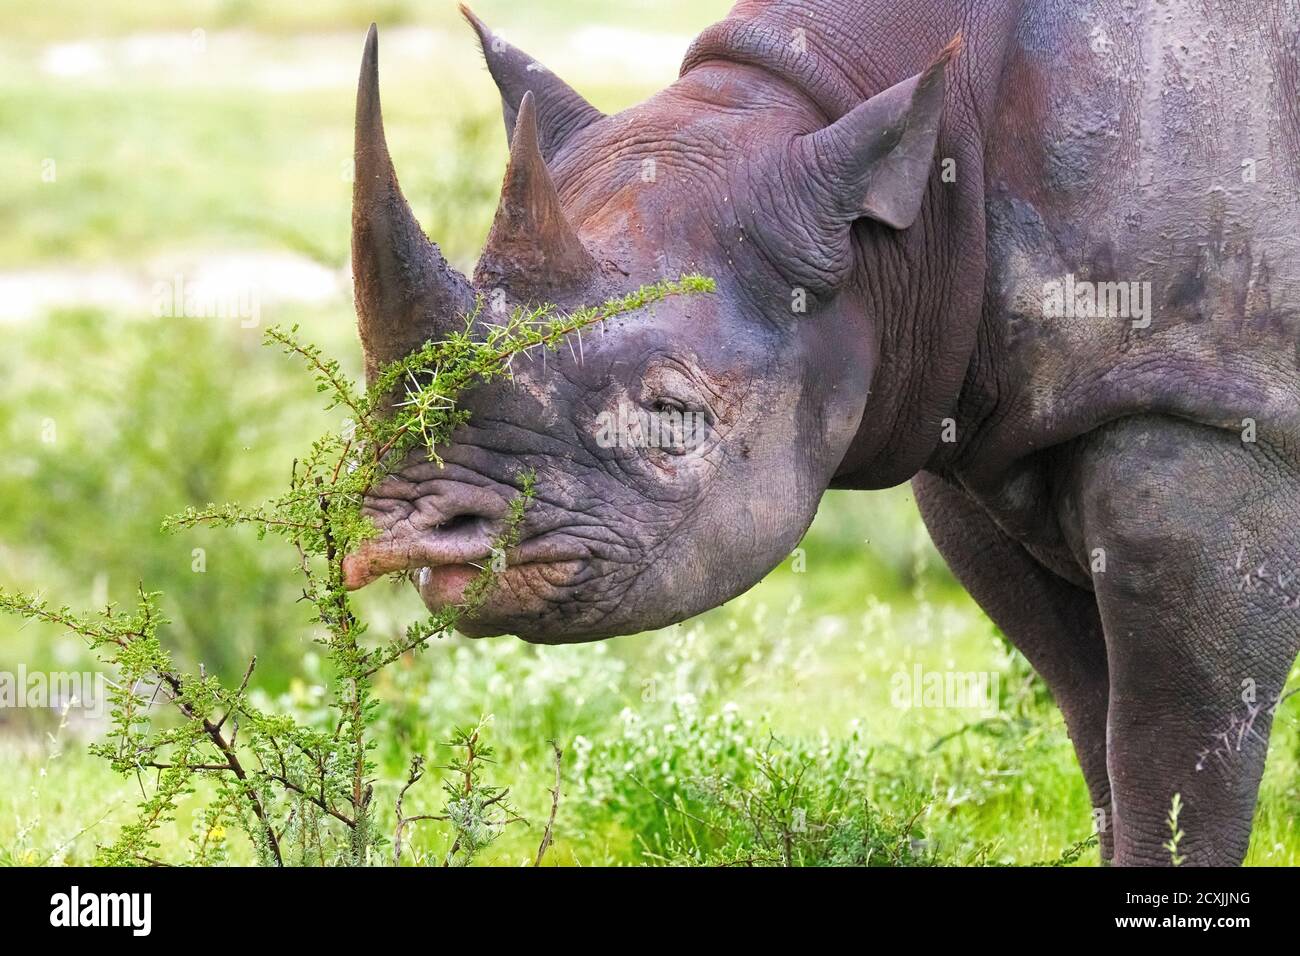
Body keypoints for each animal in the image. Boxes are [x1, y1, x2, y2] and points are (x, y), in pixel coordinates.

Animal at [341, 1, 1300, 866]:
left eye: (673, 419)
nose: (412, 535)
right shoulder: (979, 437)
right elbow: (1090, 706)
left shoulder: (1207, 405)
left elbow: (1172, 756)